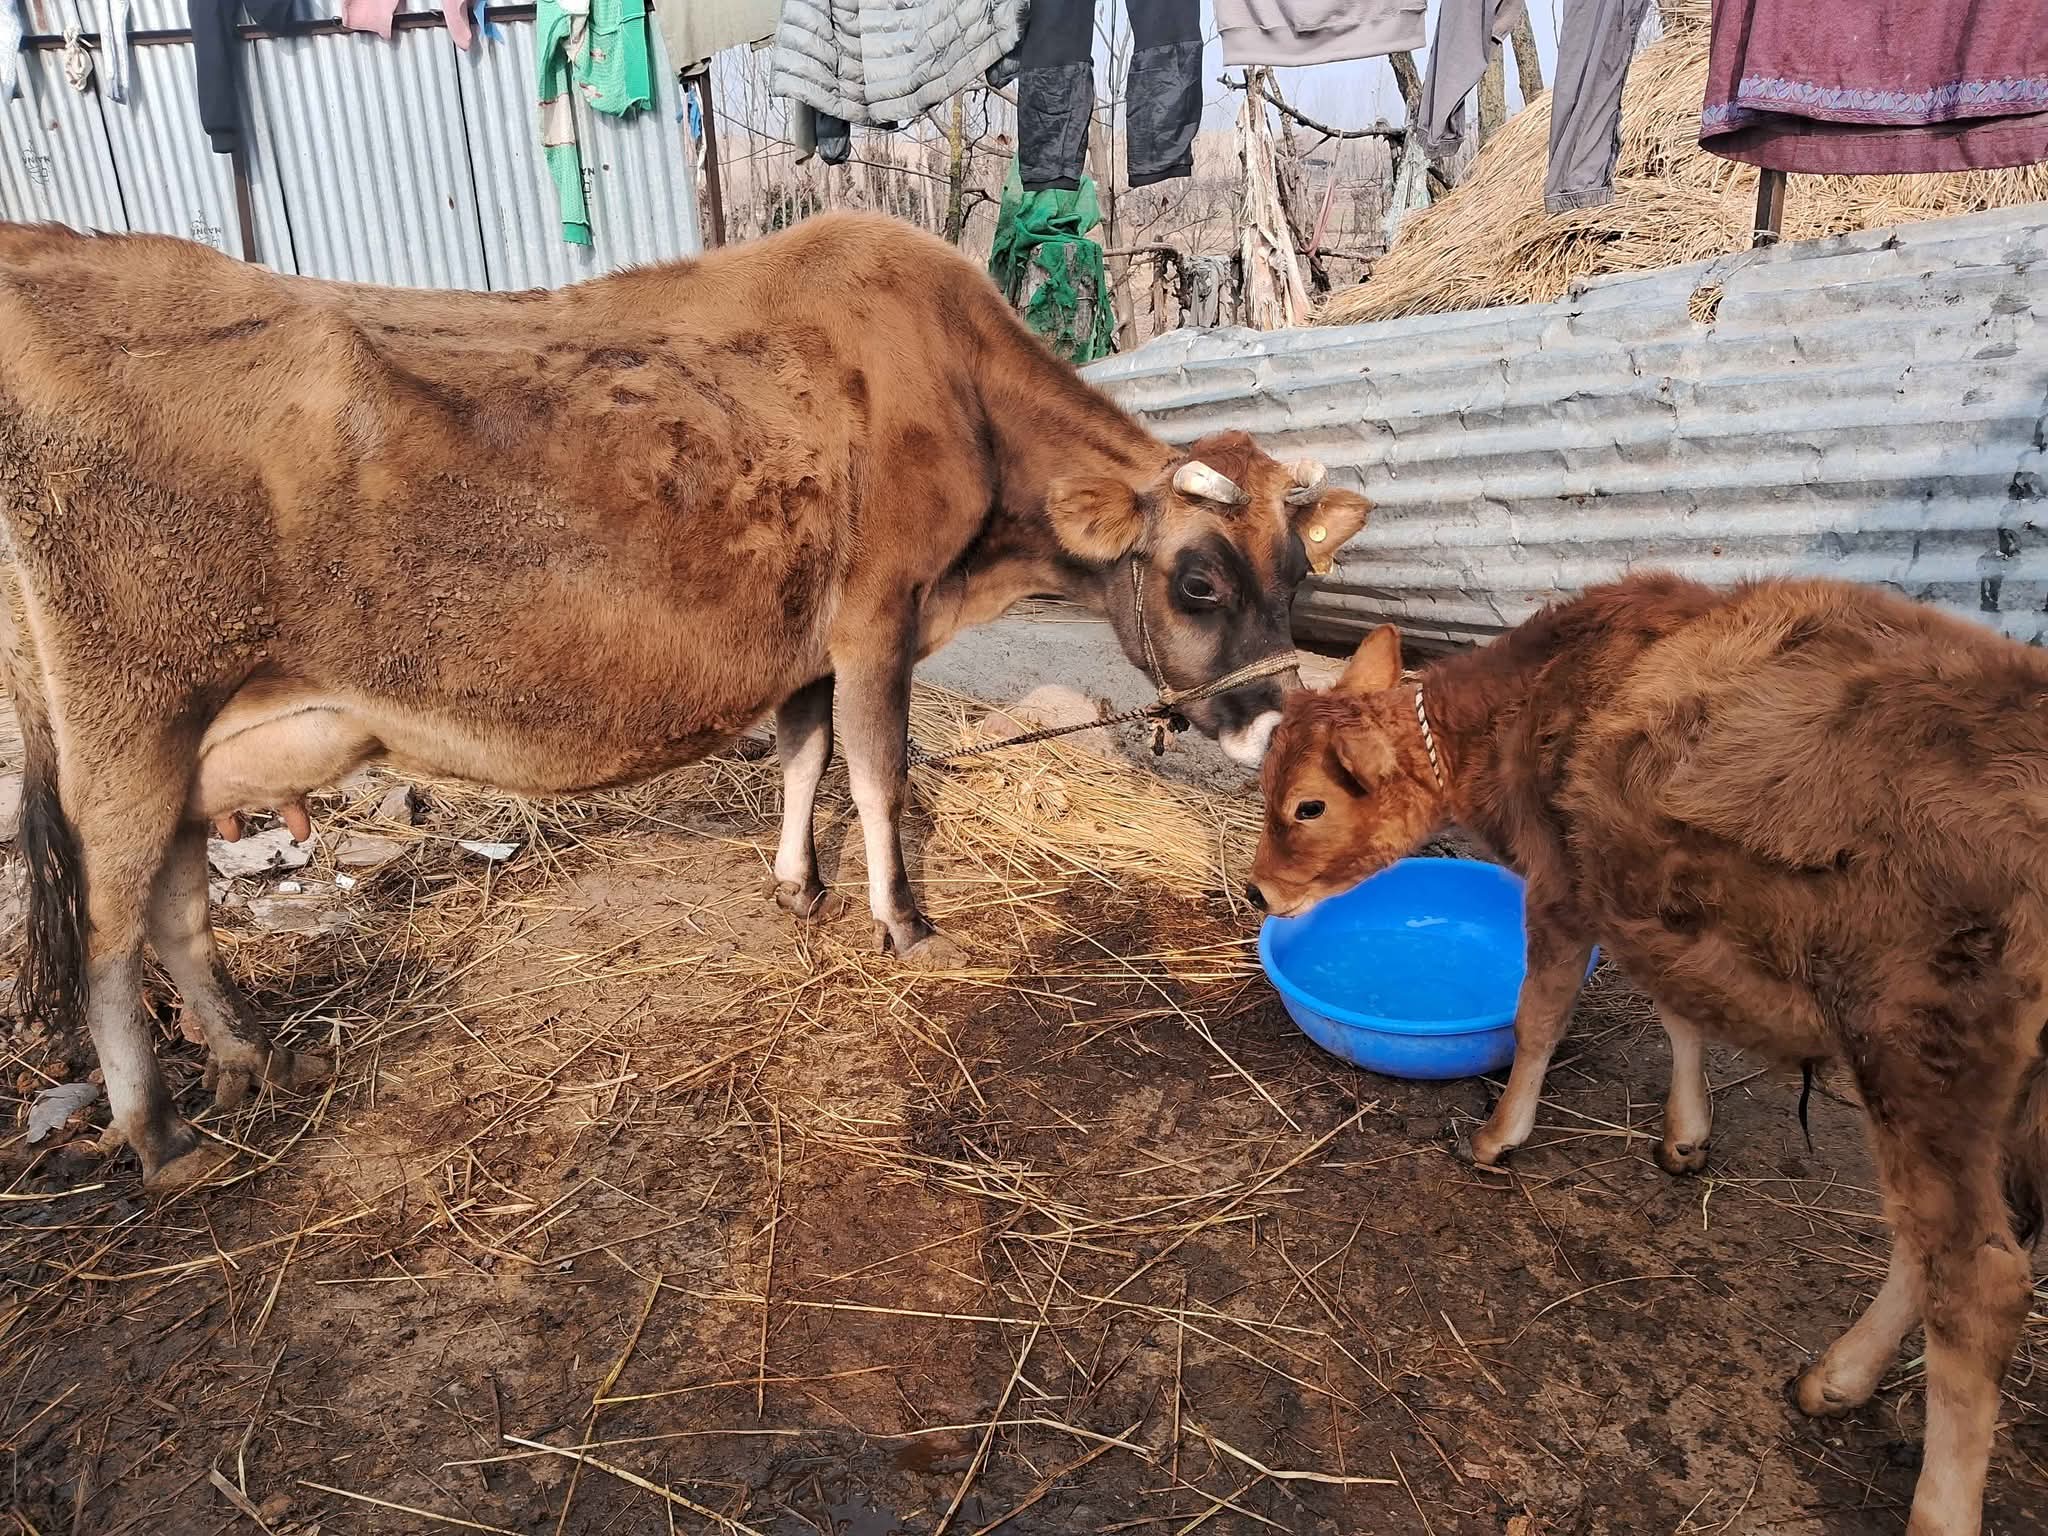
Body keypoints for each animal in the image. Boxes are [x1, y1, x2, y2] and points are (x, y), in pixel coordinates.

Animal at [0, 212, 1371, 1189]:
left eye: (1300, 575)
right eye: (1197, 579)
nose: (1270, 720)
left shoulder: (809, 644)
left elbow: (804, 760)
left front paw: (796, 885)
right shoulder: (876, 616)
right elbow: (878, 771)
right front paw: (902, 923)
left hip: (187, 742)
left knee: (176, 911)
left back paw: (242, 1060)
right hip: (127, 720)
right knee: (112, 933)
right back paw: (160, 1137)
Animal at [1244, 572, 2048, 1536]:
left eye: (1308, 806)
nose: (1257, 890)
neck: (1528, 699)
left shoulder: (1563, 886)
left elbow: (1540, 1015)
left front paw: (1499, 1135)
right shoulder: (1640, 895)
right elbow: (1677, 1013)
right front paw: (1685, 1133)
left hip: (1925, 1047)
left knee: (1978, 1278)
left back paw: (1933, 1499)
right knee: (1940, 1246)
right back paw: (1837, 1378)